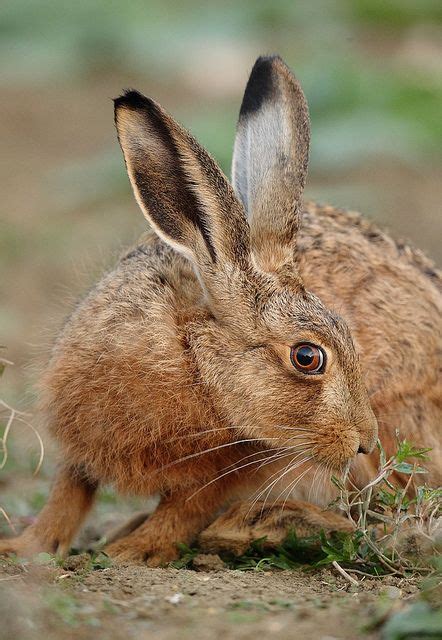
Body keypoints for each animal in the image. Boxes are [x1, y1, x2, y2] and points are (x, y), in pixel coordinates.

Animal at [0, 55, 440, 566]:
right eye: (307, 357)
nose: (363, 441)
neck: (191, 357)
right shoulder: (80, 446)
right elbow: (67, 497)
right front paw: (24, 548)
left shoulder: (236, 467)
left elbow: (182, 510)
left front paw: (131, 552)